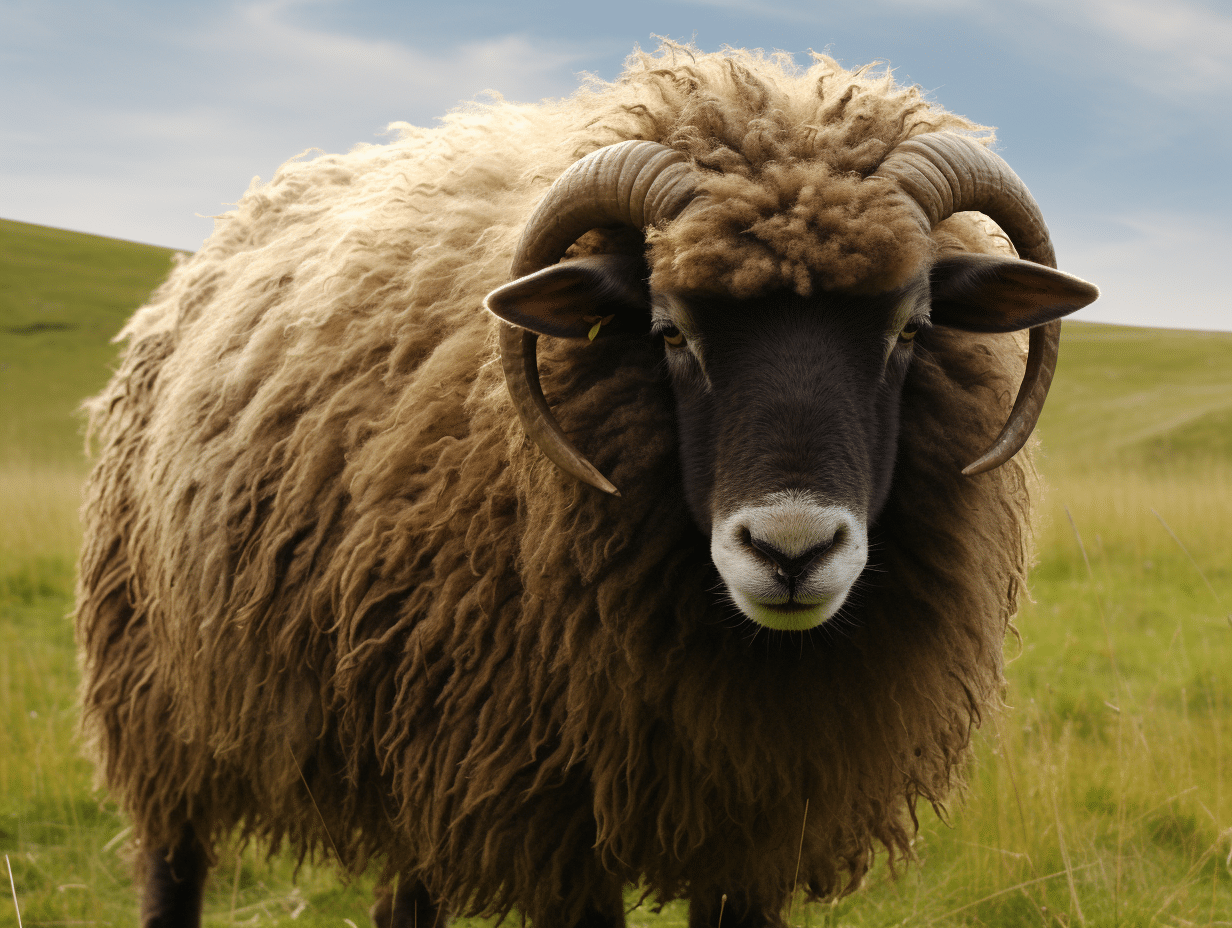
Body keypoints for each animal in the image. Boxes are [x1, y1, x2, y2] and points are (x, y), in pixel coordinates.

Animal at [75, 44, 1098, 928]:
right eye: (669, 330)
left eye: (911, 328)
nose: (791, 551)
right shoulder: (558, 815)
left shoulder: (757, 824)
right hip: (156, 697)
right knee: (172, 864)